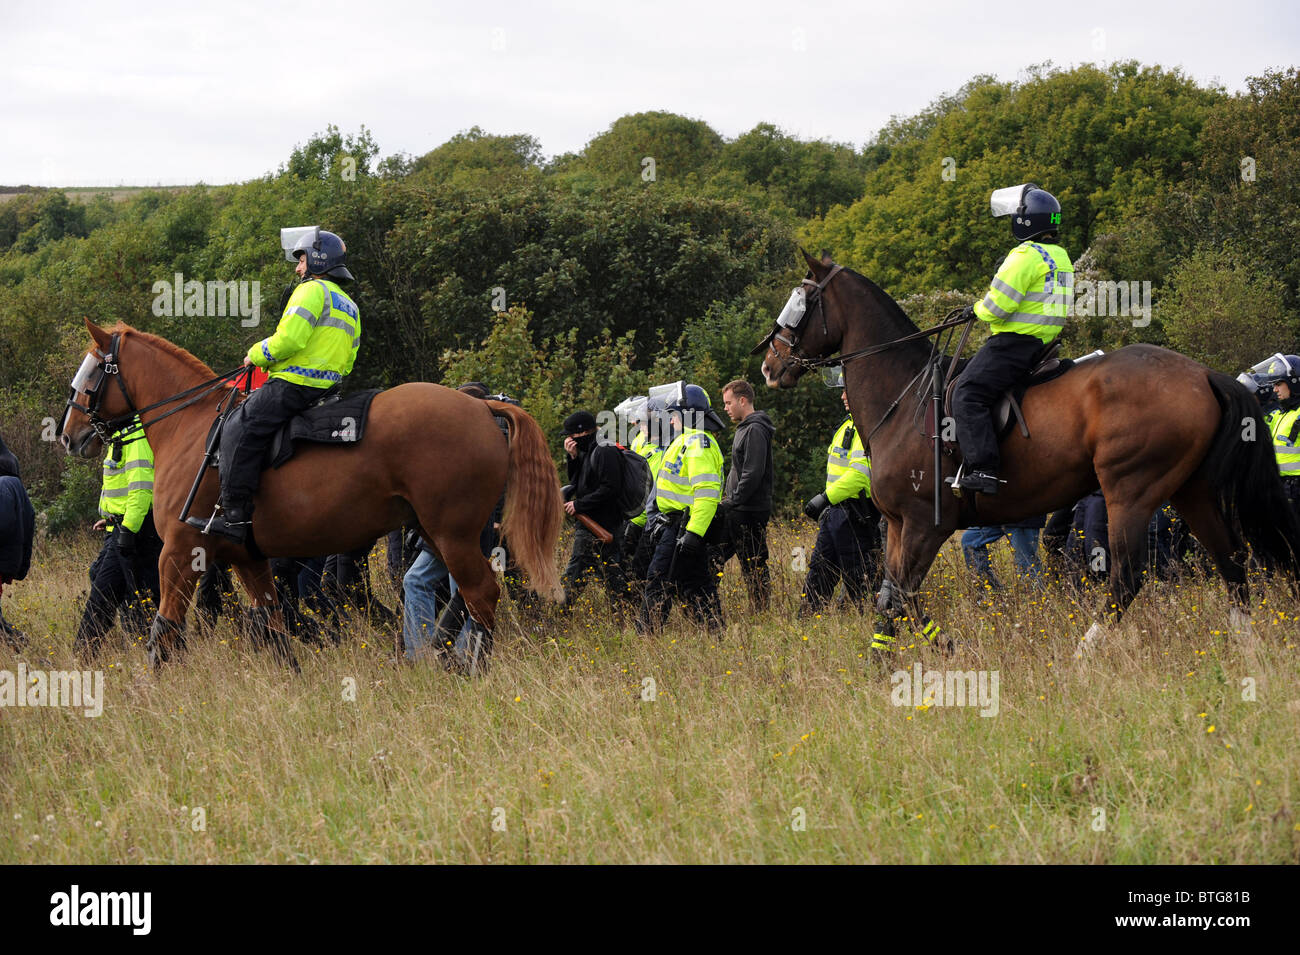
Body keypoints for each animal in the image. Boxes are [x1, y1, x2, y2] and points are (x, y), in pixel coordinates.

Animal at [59, 319, 564, 670]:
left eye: (91, 373)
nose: (68, 434)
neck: (190, 427)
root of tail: (482, 407)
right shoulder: (248, 559)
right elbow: (274, 629)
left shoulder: (181, 554)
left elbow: (163, 633)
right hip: (436, 534)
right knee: (464, 596)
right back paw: (438, 655)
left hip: (452, 535)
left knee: (480, 595)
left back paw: (466, 667)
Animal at [757, 250, 1300, 651]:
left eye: (799, 302)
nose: (769, 365)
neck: (905, 396)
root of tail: (1202, 373)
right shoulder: (895, 525)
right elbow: (890, 597)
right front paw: (888, 659)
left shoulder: (925, 524)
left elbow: (904, 596)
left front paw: (938, 653)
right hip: (1192, 491)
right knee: (1232, 561)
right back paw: (1248, 646)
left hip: (1131, 492)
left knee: (1126, 578)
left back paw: (1085, 651)